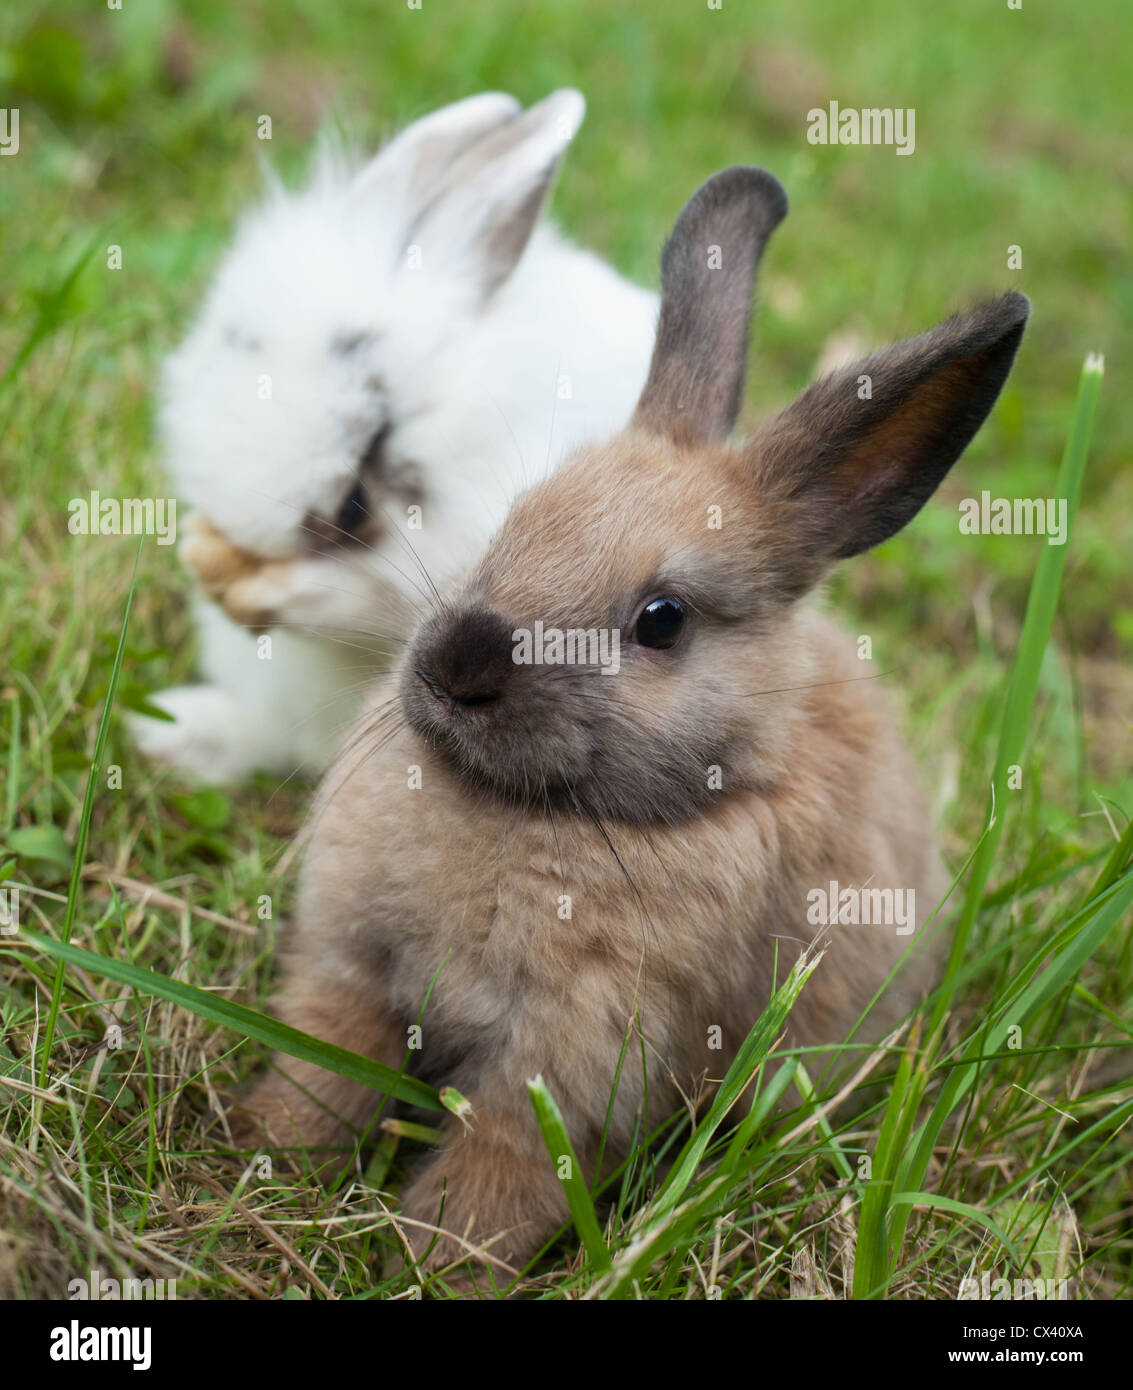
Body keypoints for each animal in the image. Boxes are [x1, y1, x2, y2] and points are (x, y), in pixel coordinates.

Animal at [227, 166, 1030, 1287]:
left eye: (661, 619)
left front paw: (433, 1267)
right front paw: (267, 1150)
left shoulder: (573, 1072)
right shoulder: (348, 974)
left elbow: (501, 1173)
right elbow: (324, 1067)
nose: (456, 665)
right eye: (514, 521)